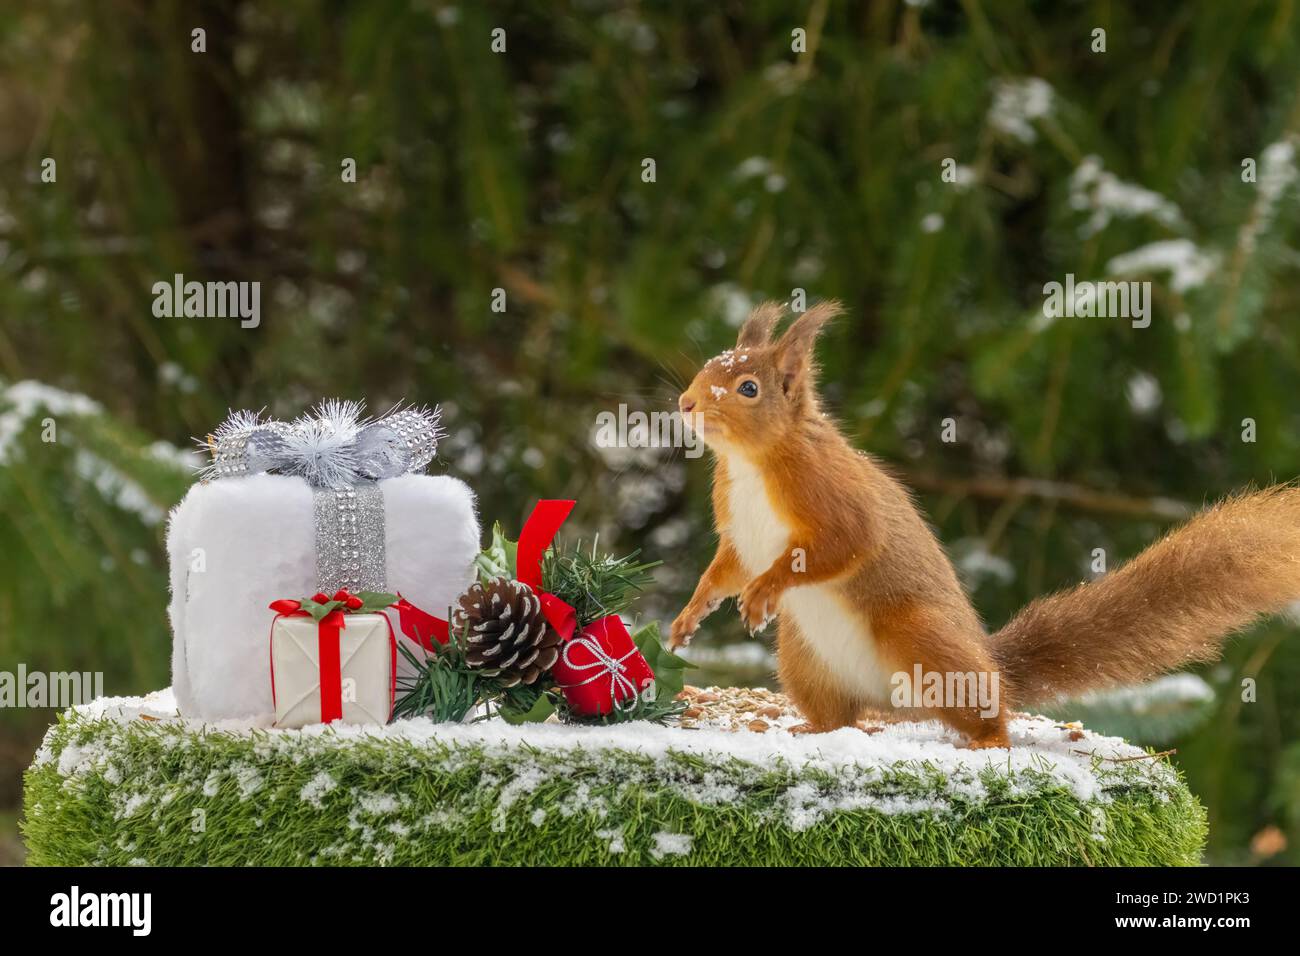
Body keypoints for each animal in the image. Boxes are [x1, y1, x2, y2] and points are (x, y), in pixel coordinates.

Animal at [669, 299, 1300, 748]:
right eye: (707, 367)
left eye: (749, 388)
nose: (686, 404)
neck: (751, 464)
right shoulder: (738, 531)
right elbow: (725, 569)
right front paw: (689, 616)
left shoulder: (834, 498)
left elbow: (844, 545)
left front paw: (764, 592)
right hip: (804, 660)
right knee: (841, 715)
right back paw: (814, 728)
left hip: (922, 637)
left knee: (985, 709)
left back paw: (987, 740)